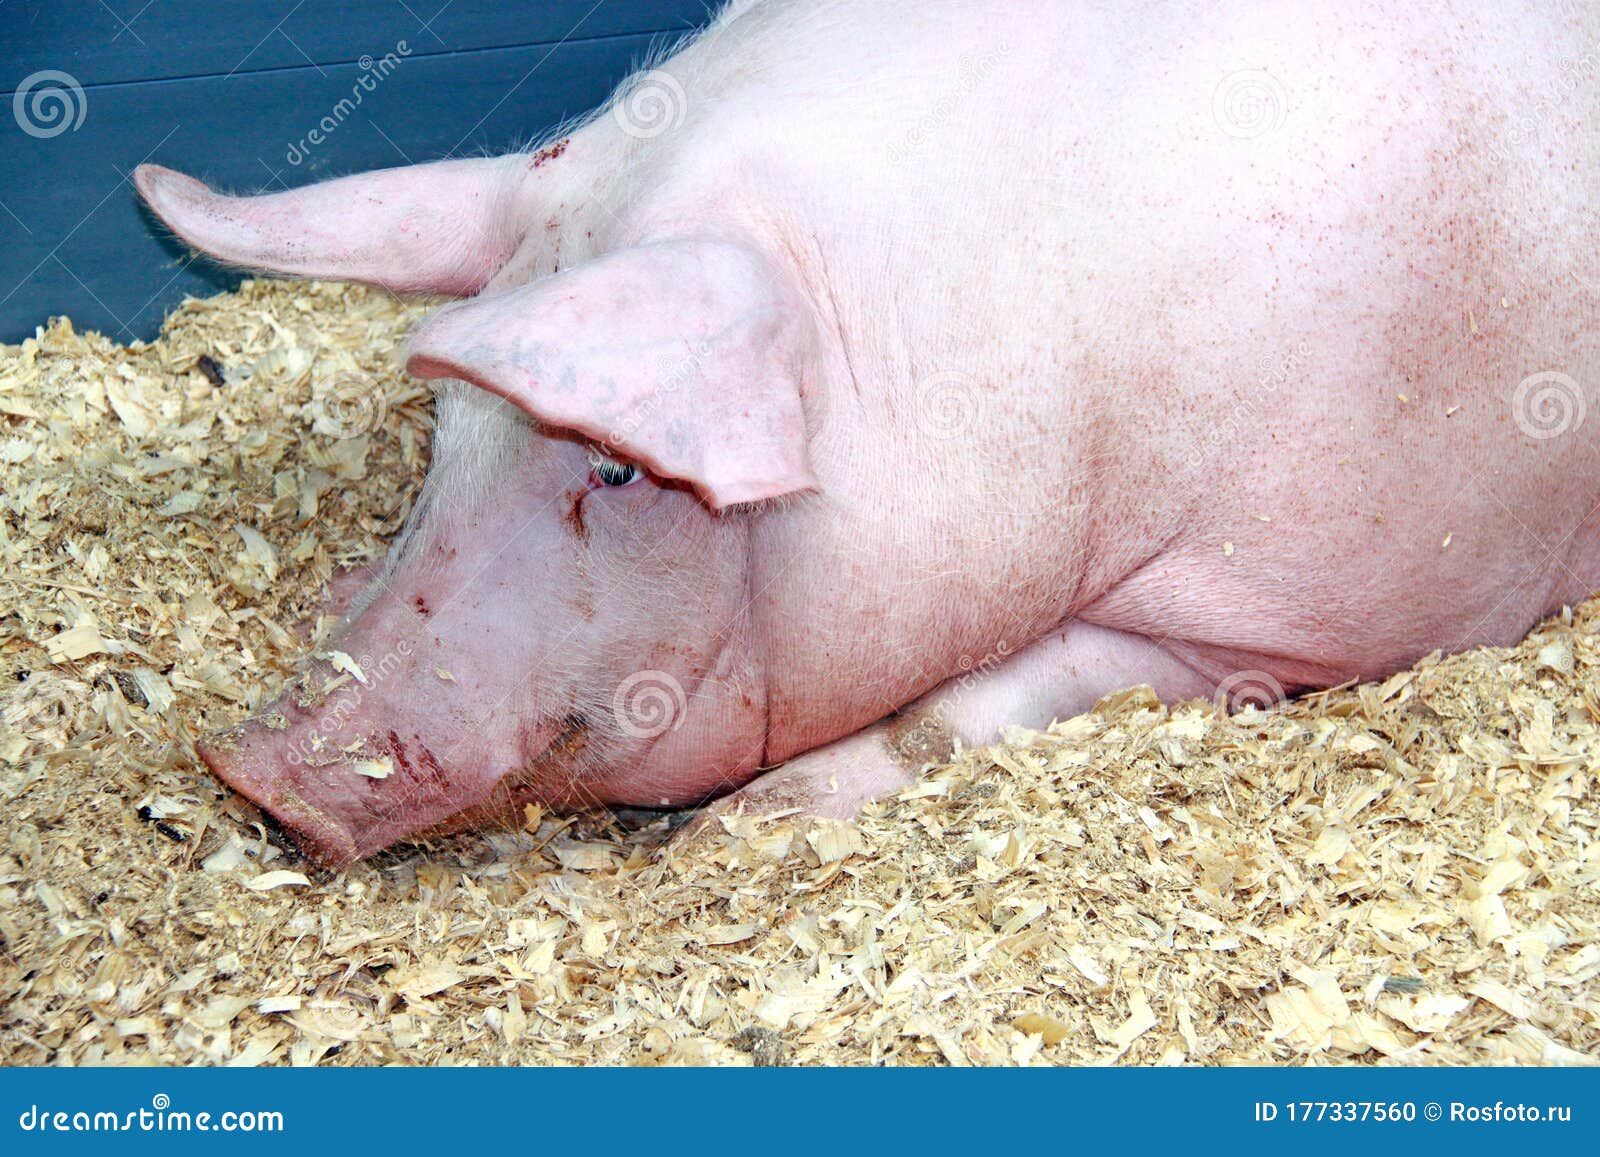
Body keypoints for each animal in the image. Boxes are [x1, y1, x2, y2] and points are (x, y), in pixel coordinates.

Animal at [135, 0, 1600, 867]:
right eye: (446, 426)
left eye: (616, 462)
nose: (252, 767)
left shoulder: (1312, 604)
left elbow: (972, 707)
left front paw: (743, 829)